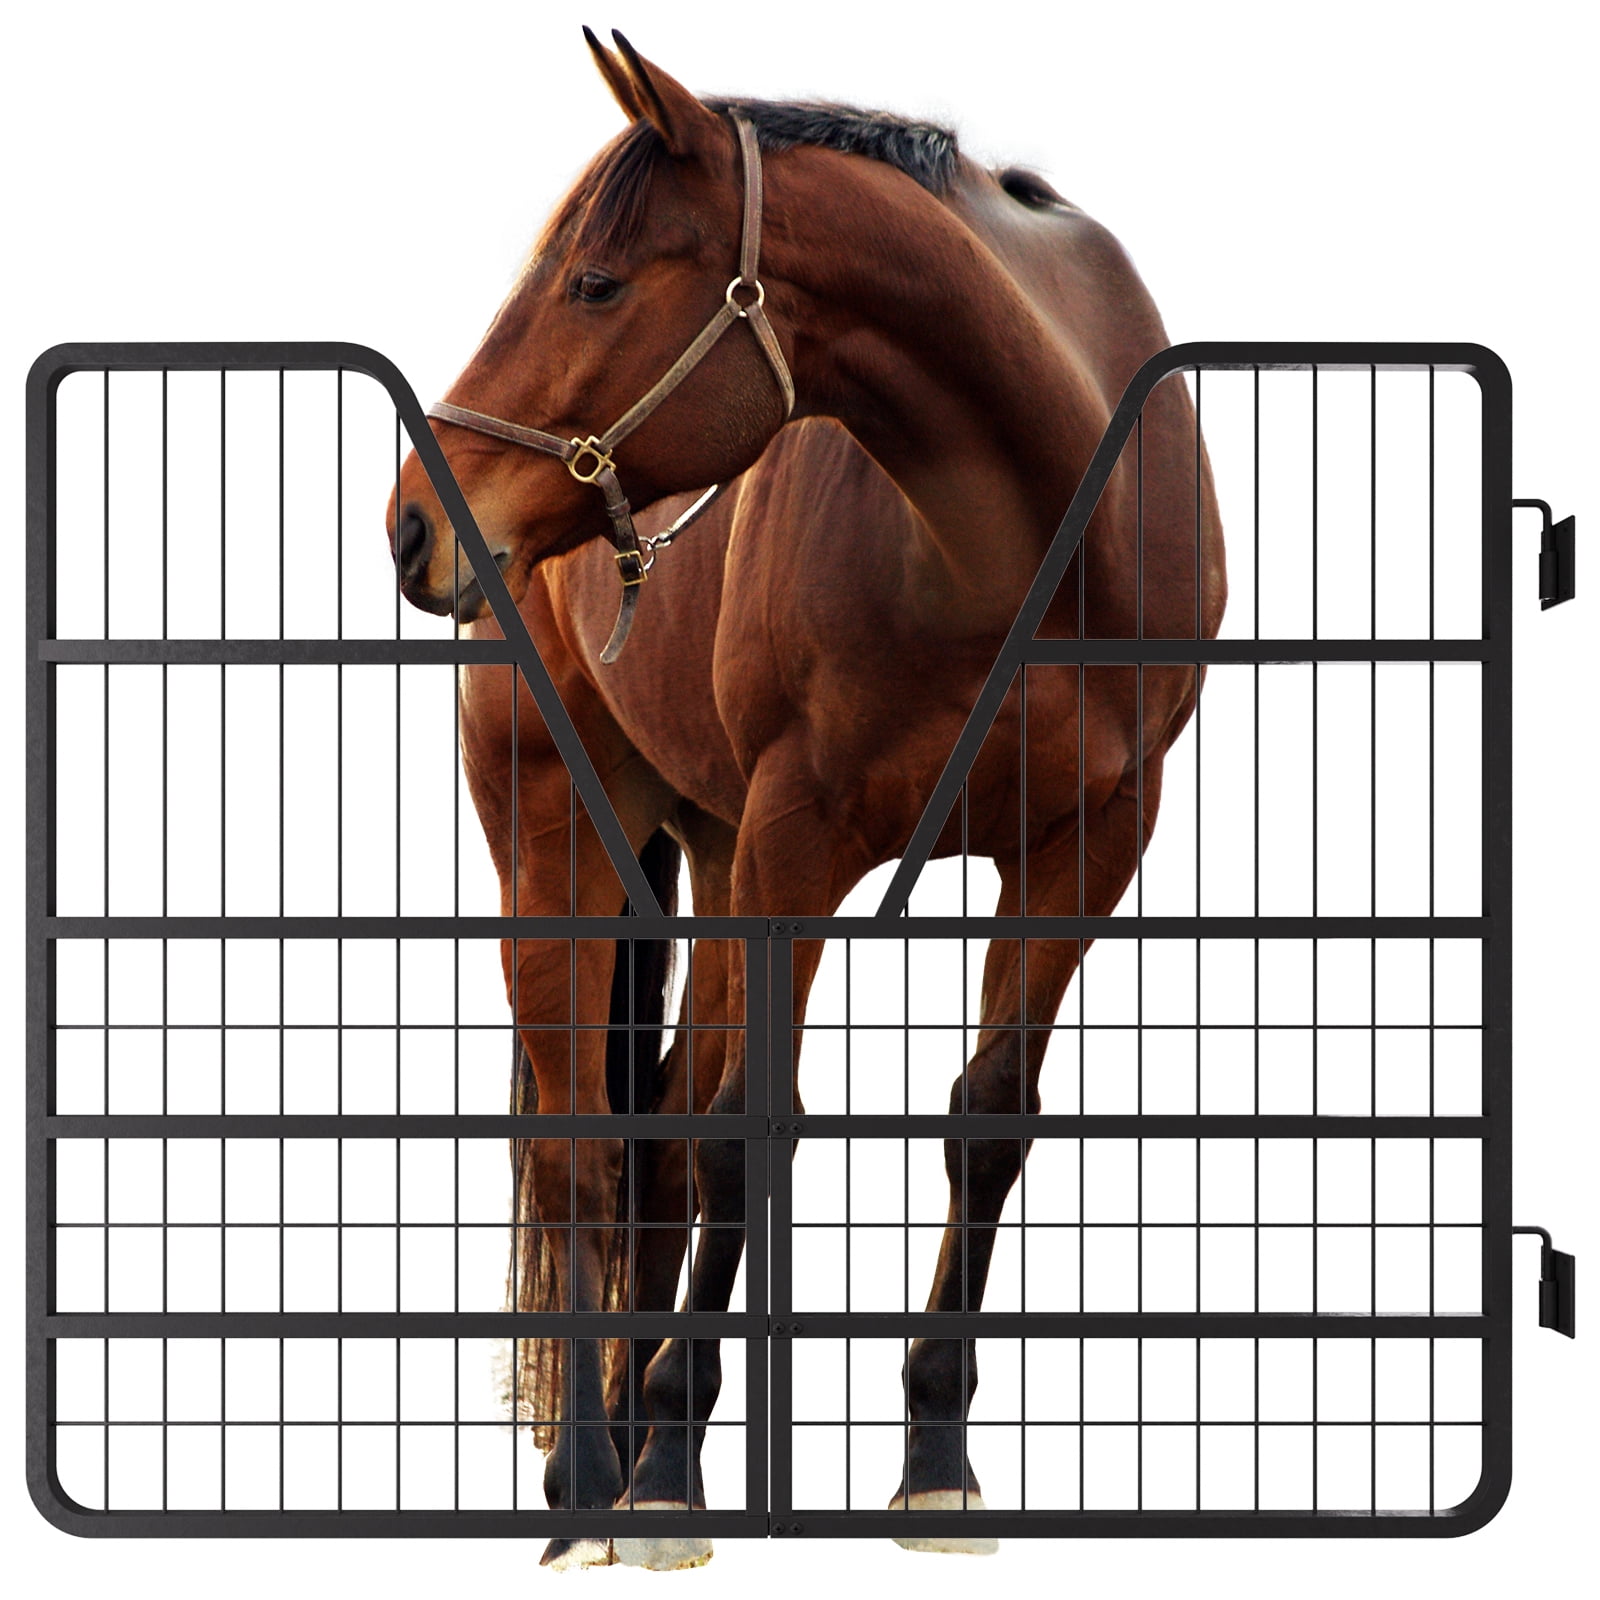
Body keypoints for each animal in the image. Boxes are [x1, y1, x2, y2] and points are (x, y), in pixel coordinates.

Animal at [387, 29, 1223, 1568]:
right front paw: (666, 1472)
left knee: (650, 1134)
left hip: (710, 852)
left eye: (595, 282)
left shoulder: (1082, 851)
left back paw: (618, 1450)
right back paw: (593, 1480)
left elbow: (983, 1123)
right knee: (578, 1143)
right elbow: (742, 1137)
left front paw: (935, 1464)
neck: (1017, 545)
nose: (415, 519)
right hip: (557, 835)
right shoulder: (800, 847)